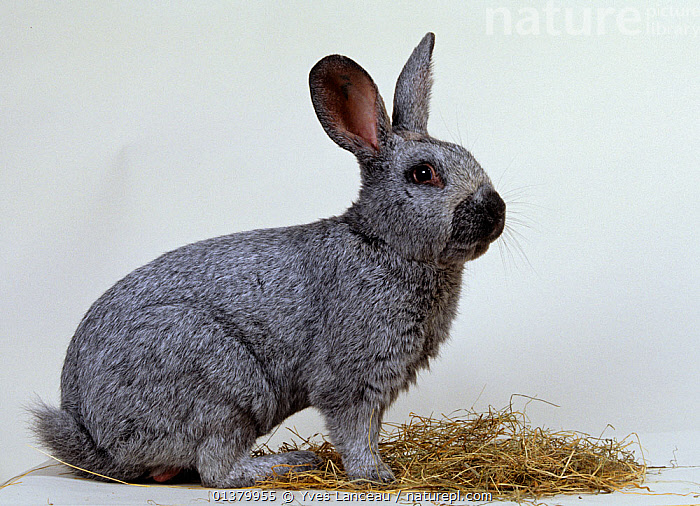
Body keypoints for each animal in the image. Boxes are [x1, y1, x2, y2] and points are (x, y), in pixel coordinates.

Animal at [32, 32, 506, 488]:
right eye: (423, 174)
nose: (495, 211)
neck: (383, 243)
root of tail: (95, 439)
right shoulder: (353, 378)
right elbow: (356, 430)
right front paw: (375, 476)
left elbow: (369, 430)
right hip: (226, 388)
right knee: (218, 470)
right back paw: (293, 463)